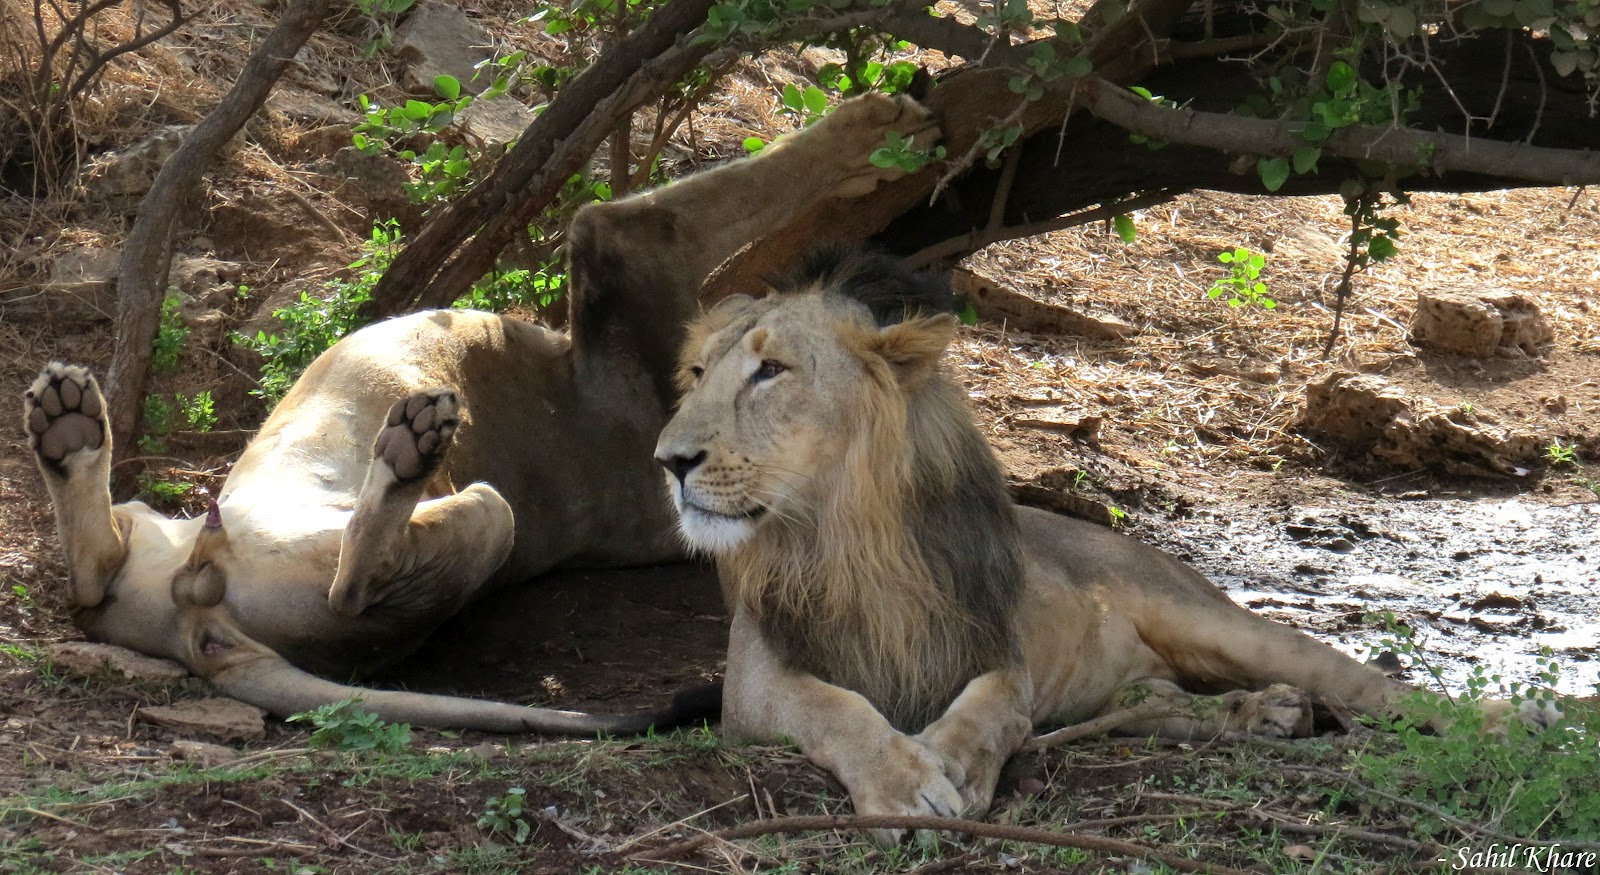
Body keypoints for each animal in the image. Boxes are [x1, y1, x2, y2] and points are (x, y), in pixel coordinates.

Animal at [23, 94, 939, 733]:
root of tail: (204, 635)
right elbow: (744, 189)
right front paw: (884, 133)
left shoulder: (624, 242)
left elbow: (729, 189)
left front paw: (876, 126)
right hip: (156, 527)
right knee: (94, 575)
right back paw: (71, 430)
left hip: (476, 515)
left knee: (351, 589)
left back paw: (405, 451)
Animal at [653, 250, 1559, 841]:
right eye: (696, 374)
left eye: (771, 371)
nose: (670, 460)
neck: (839, 533)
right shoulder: (756, 682)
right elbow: (836, 708)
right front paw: (905, 781)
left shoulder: (992, 650)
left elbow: (991, 708)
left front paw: (949, 766)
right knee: (1157, 702)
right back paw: (1262, 712)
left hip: (1213, 618)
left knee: (1373, 685)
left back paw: (1518, 715)